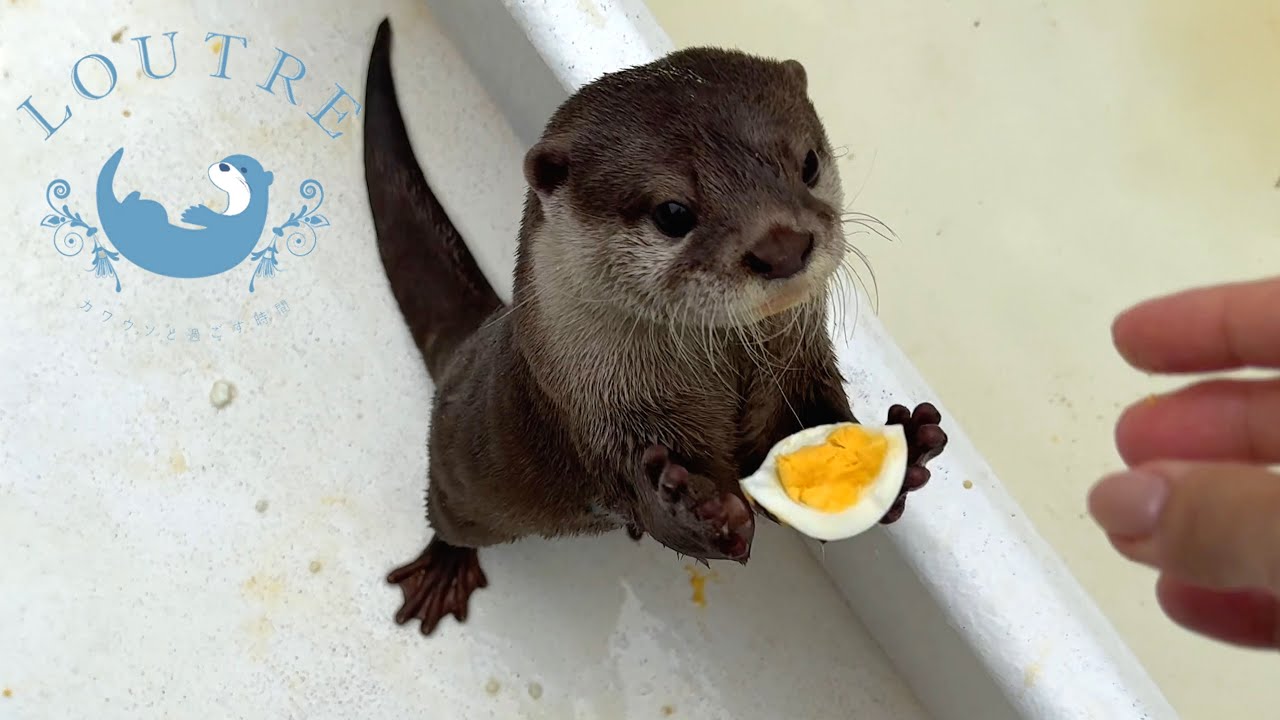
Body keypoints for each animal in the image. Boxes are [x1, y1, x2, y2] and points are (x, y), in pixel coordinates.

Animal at [362, 19, 947, 636]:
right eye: (672, 213)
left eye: (808, 163)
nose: (783, 245)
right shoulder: (594, 423)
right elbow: (638, 498)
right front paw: (691, 510)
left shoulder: (797, 368)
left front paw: (910, 449)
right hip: (464, 486)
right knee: (449, 516)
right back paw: (442, 568)